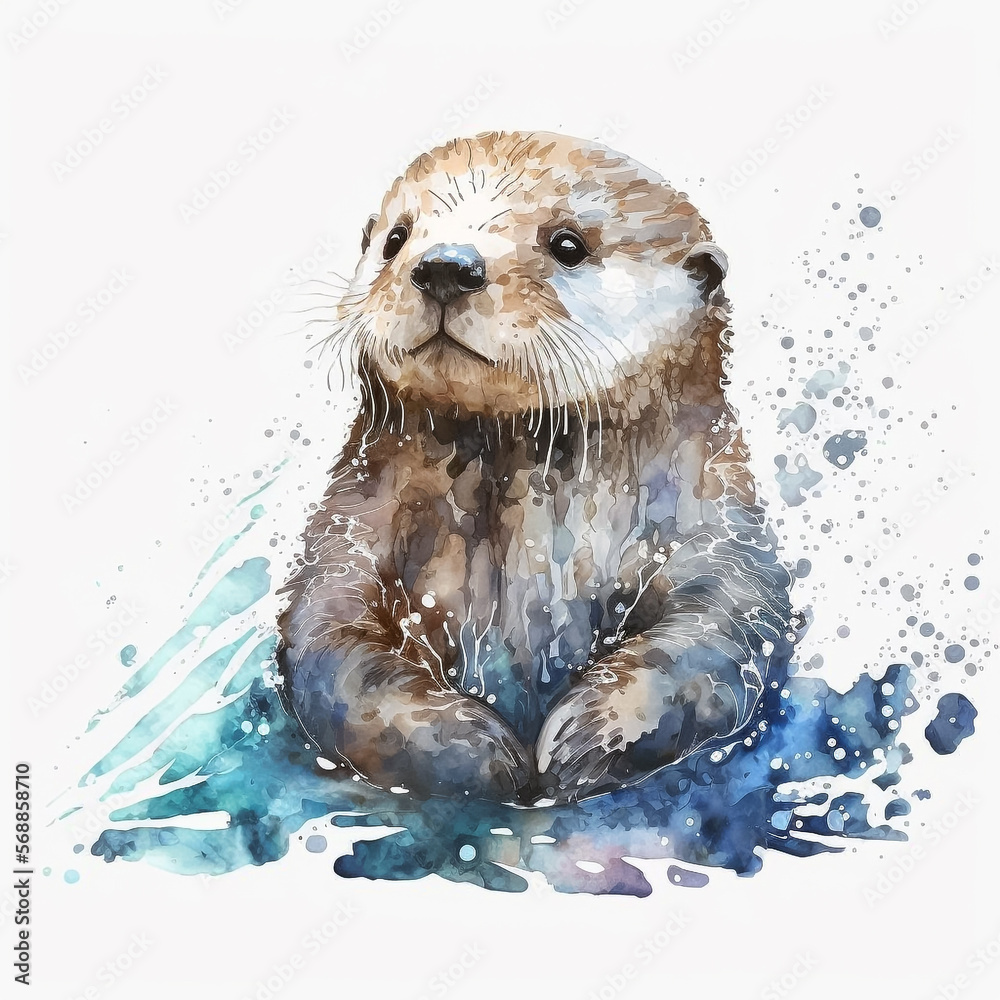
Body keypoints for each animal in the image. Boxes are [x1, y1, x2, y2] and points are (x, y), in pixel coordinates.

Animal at [276, 131, 793, 804]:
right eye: (397, 238)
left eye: (567, 244)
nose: (445, 265)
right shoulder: (349, 533)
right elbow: (331, 644)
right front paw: (471, 749)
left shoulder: (718, 528)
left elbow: (721, 631)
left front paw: (592, 736)